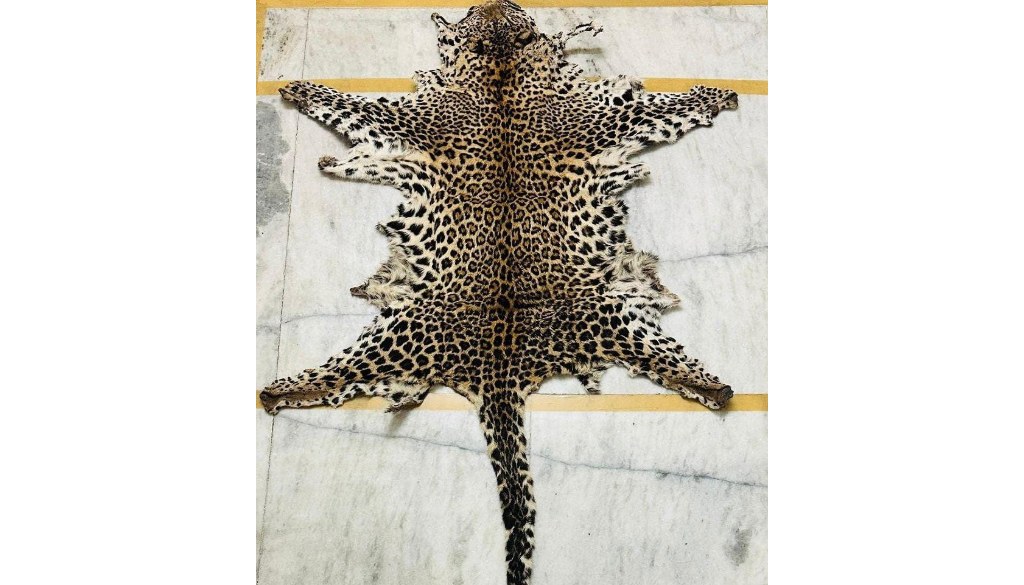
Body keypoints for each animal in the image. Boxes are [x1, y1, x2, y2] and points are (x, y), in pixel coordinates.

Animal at [259, 2, 738, 583]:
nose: (488, 4)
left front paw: (715, 94)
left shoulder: (595, 120)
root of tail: (500, 370)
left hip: (587, 322)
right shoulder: (416, 120)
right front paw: (303, 90)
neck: (502, 75)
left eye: (501, 13)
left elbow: (665, 107)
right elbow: (350, 103)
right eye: (478, 13)